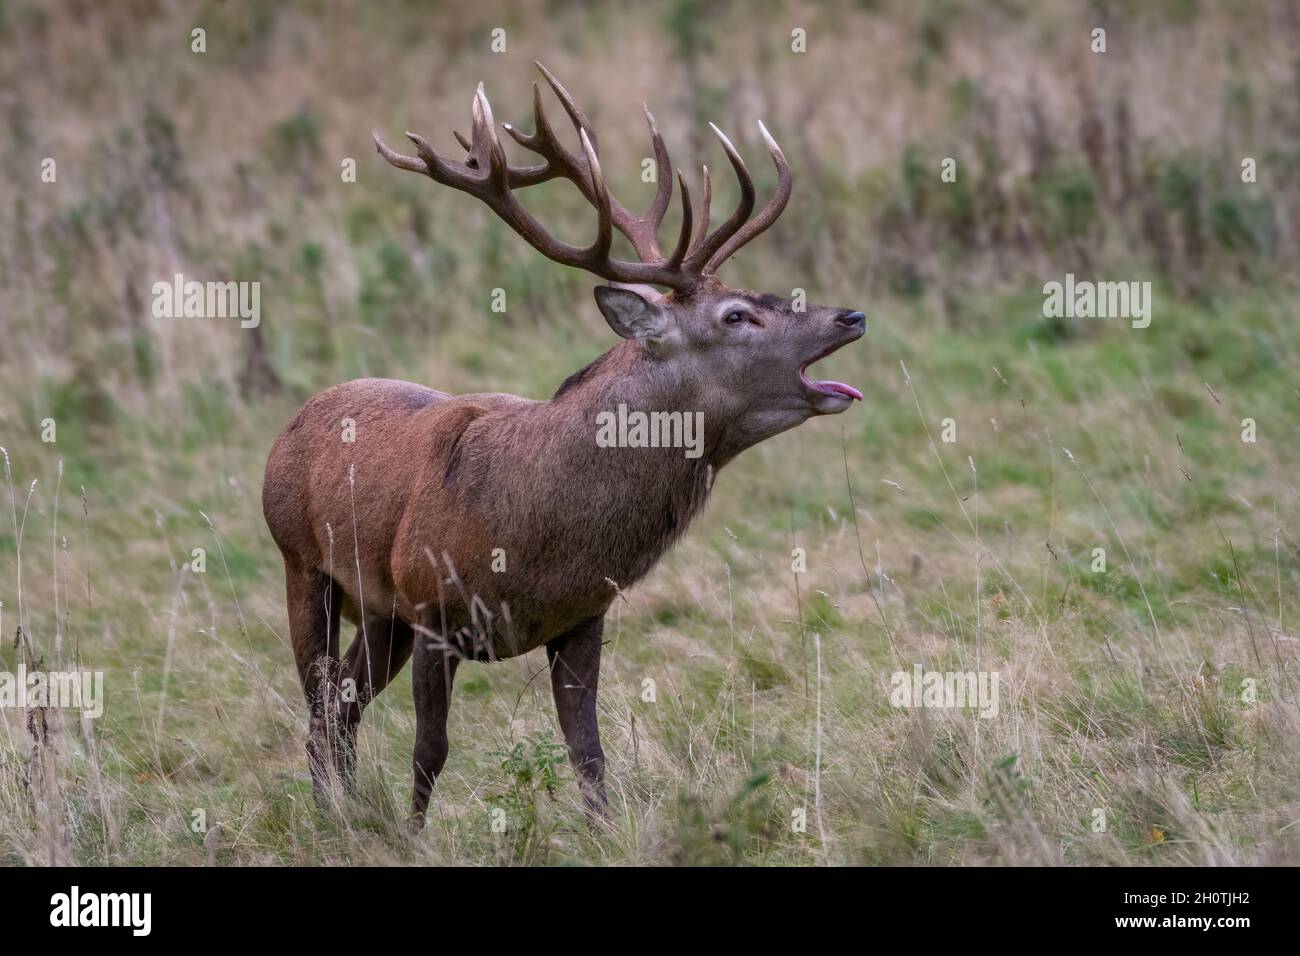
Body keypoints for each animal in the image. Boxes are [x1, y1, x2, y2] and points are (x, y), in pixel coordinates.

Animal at [262, 62, 866, 824]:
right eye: (736, 315)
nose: (850, 315)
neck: (535, 535)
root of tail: (292, 424)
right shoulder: (433, 607)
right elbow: (430, 752)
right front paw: (415, 835)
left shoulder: (582, 617)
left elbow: (589, 754)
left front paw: (605, 832)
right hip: (302, 560)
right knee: (319, 705)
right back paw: (331, 817)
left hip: (378, 608)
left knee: (341, 705)